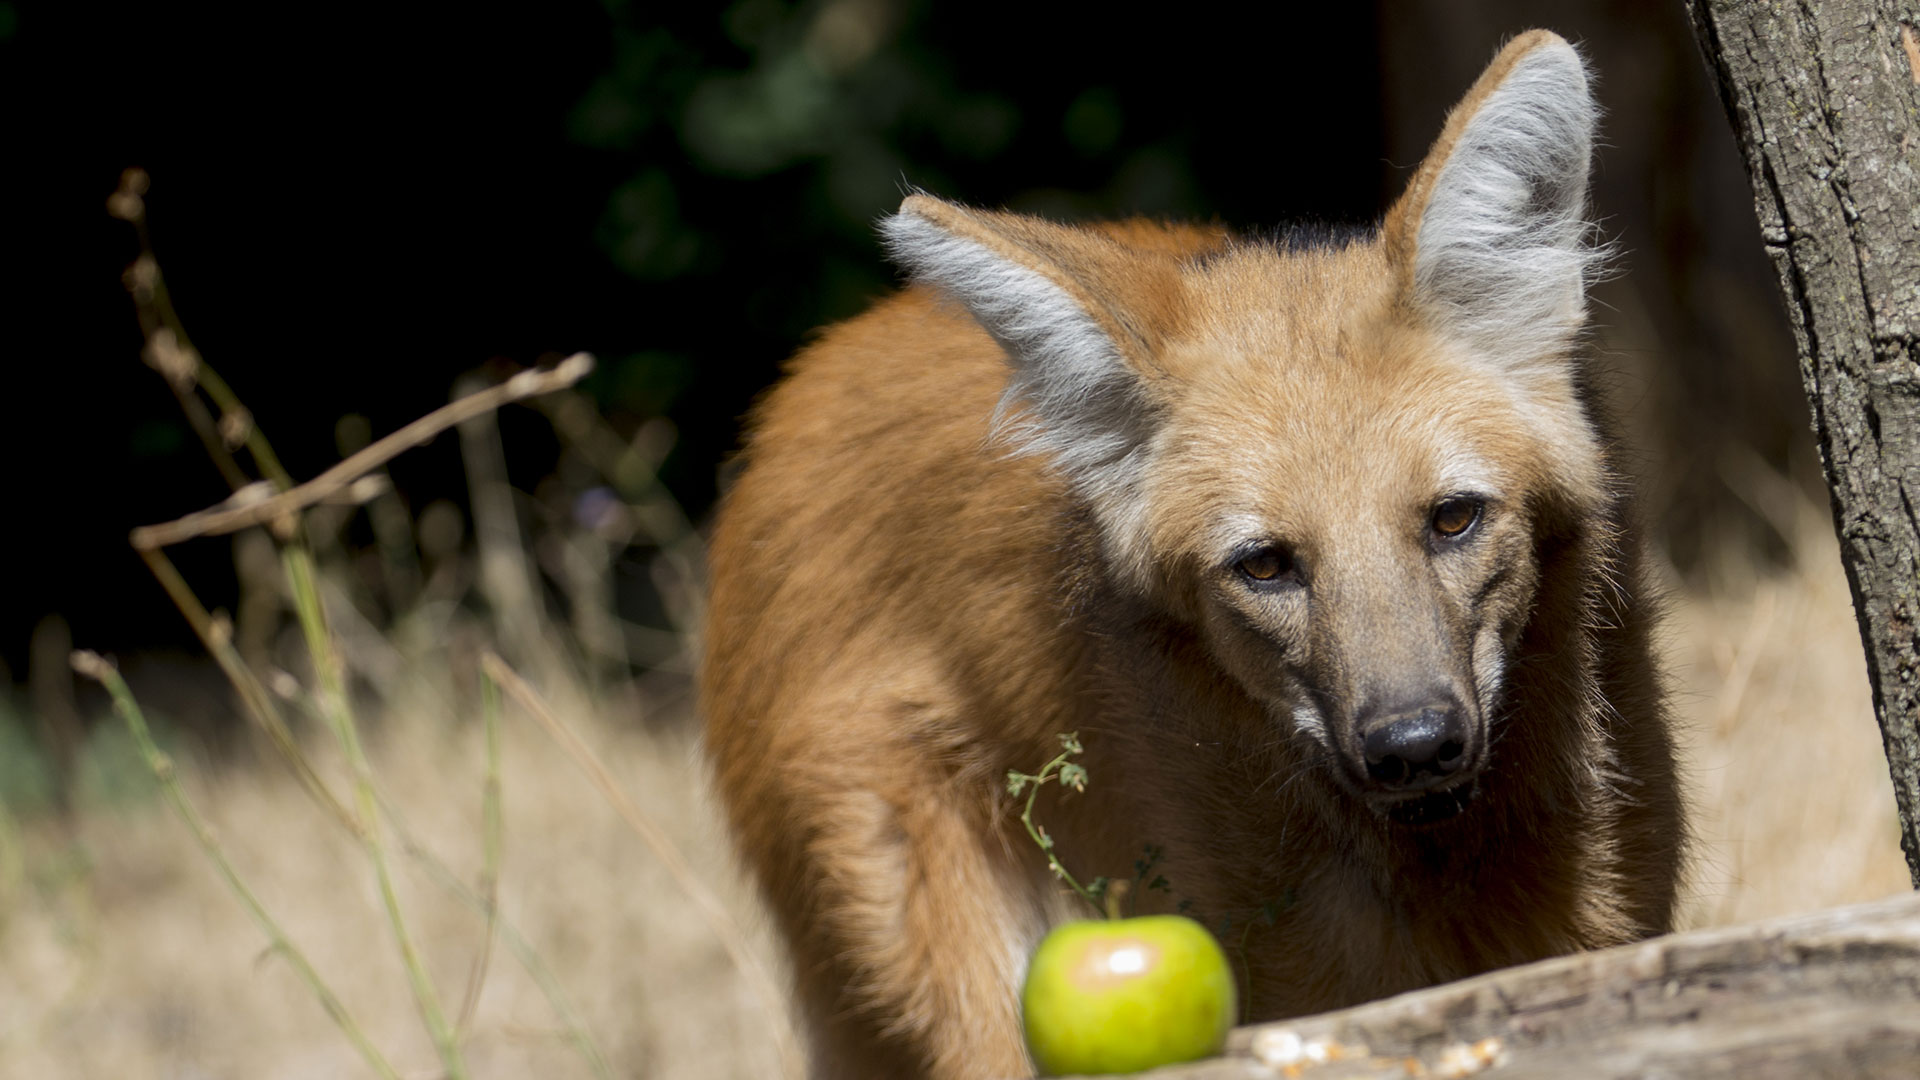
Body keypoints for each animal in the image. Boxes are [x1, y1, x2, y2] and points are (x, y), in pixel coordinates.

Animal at [701, 30, 1684, 1080]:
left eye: (1452, 519)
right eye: (1266, 565)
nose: (1413, 747)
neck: (1440, 865)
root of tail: (811, 375)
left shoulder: (1606, 927)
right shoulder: (1298, 983)